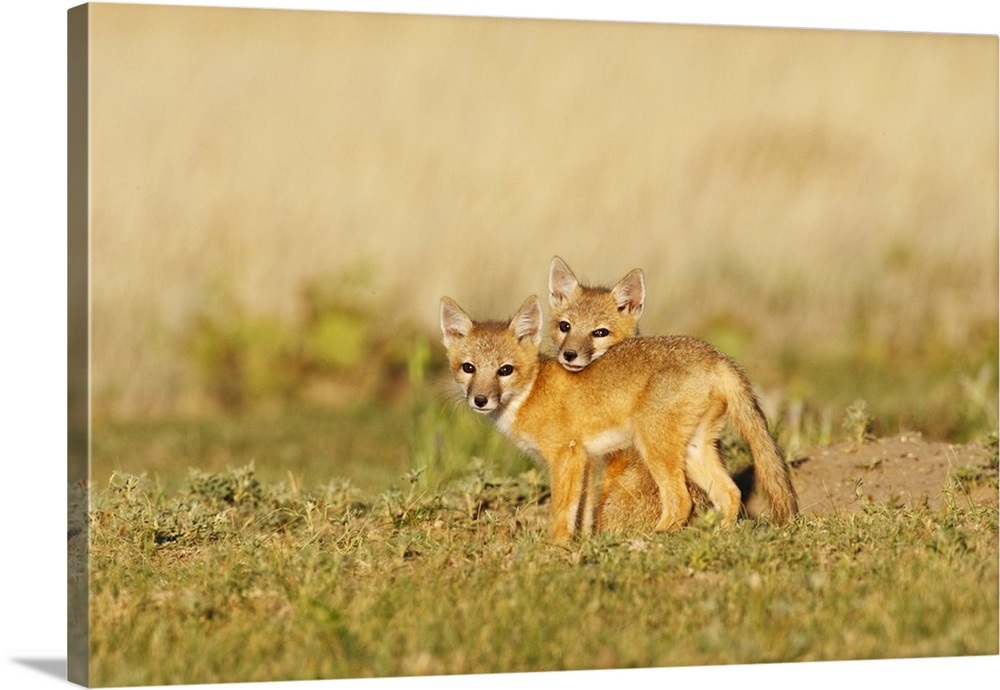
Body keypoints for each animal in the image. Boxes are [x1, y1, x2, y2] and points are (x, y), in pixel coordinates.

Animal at [439, 294, 798, 542]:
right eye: (468, 368)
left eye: (505, 370)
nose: (480, 400)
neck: (532, 391)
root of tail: (716, 355)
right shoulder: (585, 461)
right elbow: (582, 514)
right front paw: (583, 543)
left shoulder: (567, 456)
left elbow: (561, 514)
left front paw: (554, 549)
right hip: (694, 451)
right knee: (731, 494)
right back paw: (720, 536)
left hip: (655, 447)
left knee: (681, 501)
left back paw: (653, 539)